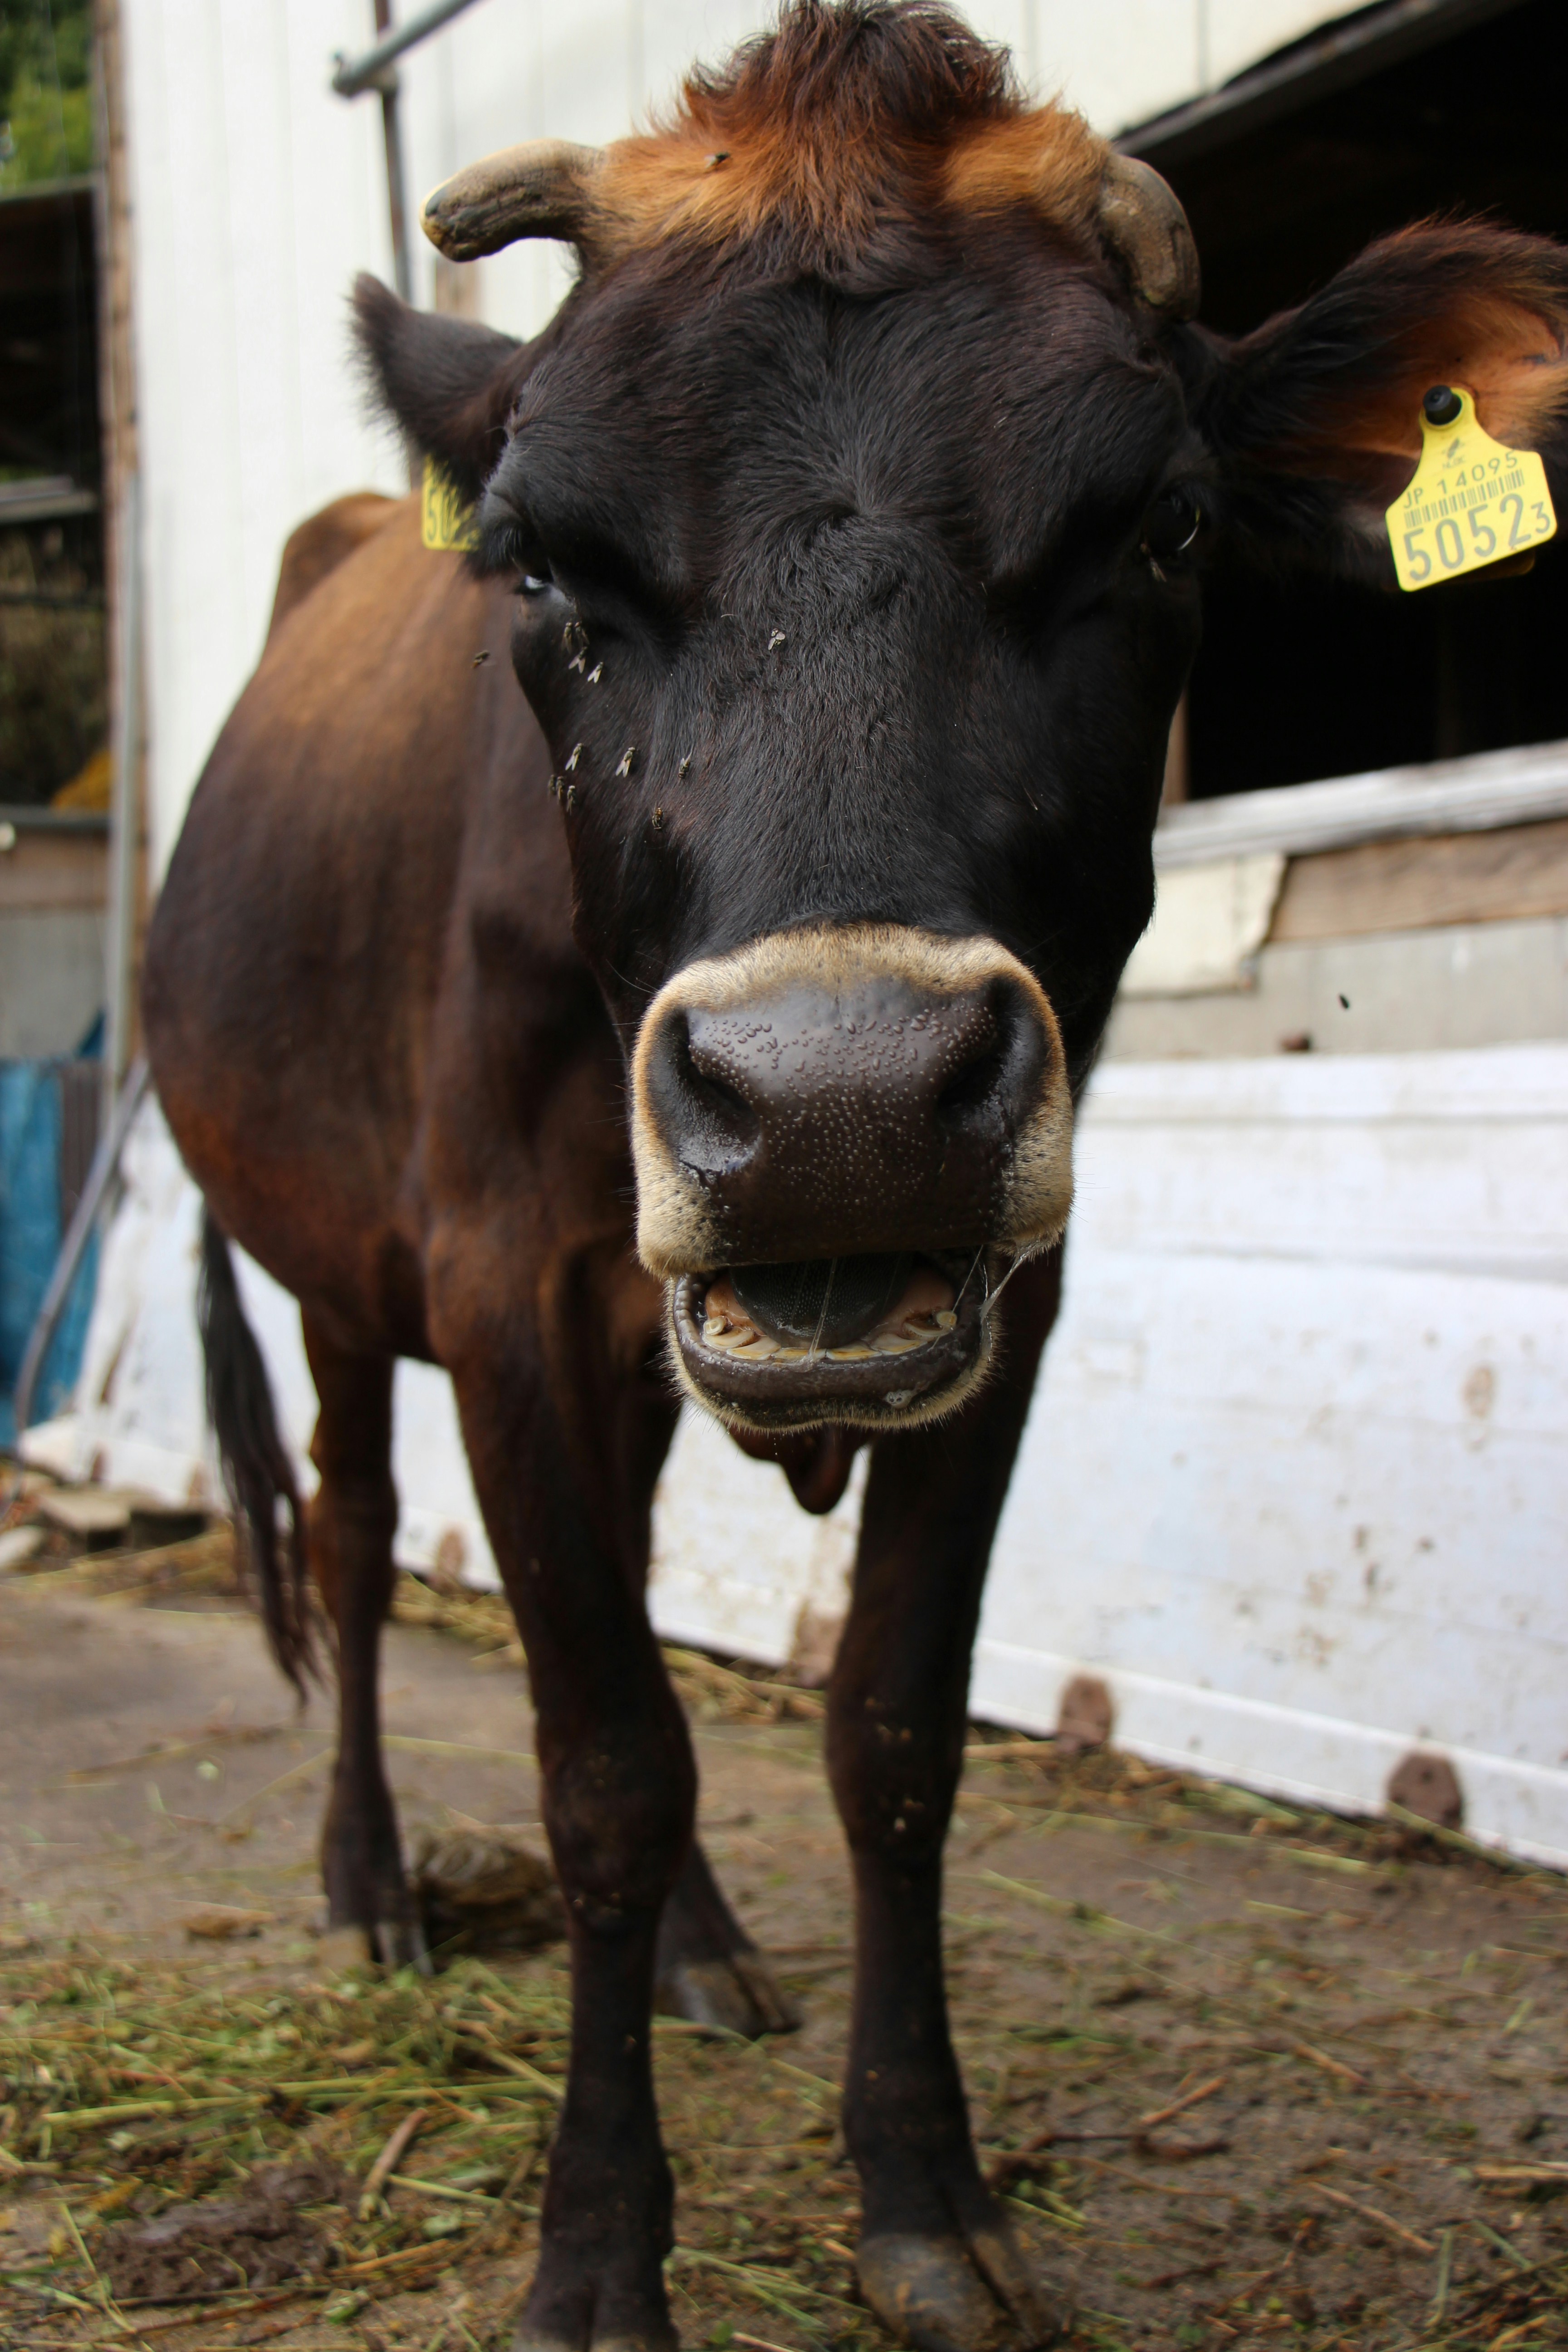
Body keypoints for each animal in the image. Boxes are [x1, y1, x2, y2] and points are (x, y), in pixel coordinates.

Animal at [142, 4, 1568, 2345]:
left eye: (1166, 525)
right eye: (537, 557)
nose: (837, 1101)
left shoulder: (1006, 1299)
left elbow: (891, 1734)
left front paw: (922, 2190)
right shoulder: (500, 1283)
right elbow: (602, 1765)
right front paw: (594, 2249)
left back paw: (713, 1952)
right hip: (340, 1280)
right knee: (349, 1541)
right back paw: (365, 1888)